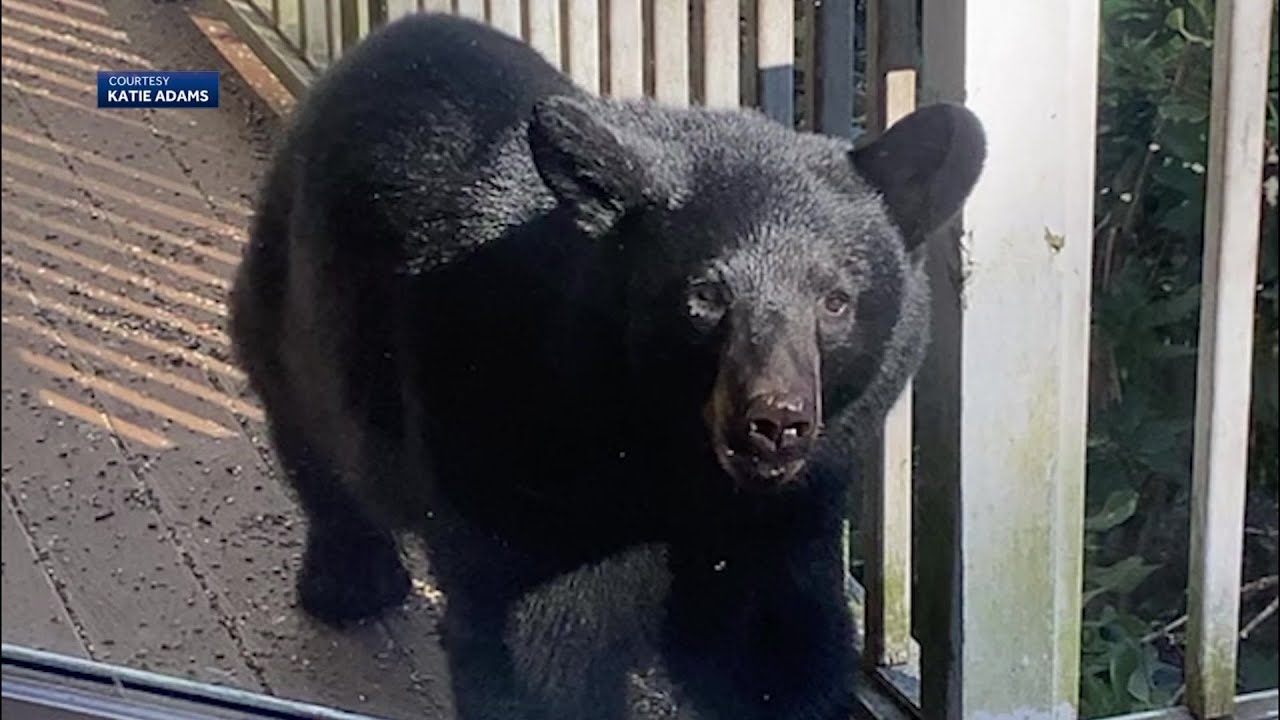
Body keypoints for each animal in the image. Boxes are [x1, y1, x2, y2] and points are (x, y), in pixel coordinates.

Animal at [226, 11, 985, 720]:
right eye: (705, 295)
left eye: (835, 301)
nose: (774, 421)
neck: (667, 453)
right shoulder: (520, 458)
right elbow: (539, 649)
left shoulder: (785, 511)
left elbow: (773, 645)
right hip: (297, 298)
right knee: (312, 433)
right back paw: (350, 579)